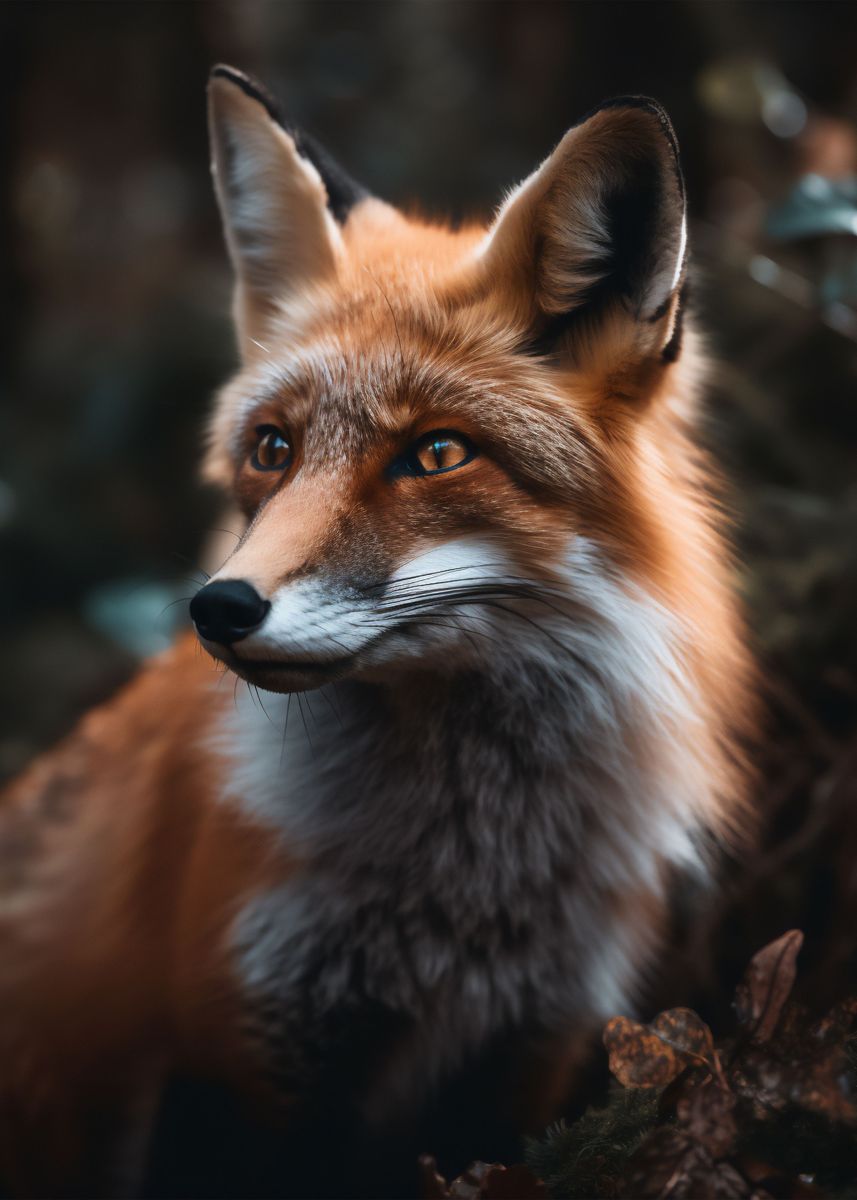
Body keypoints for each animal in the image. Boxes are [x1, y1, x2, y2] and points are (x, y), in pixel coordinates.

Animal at [0, 66, 753, 1199]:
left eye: (437, 453)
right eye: (272, 449)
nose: (219, 609)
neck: (459, 895)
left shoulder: (534, 1045)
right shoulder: (234, 1050)